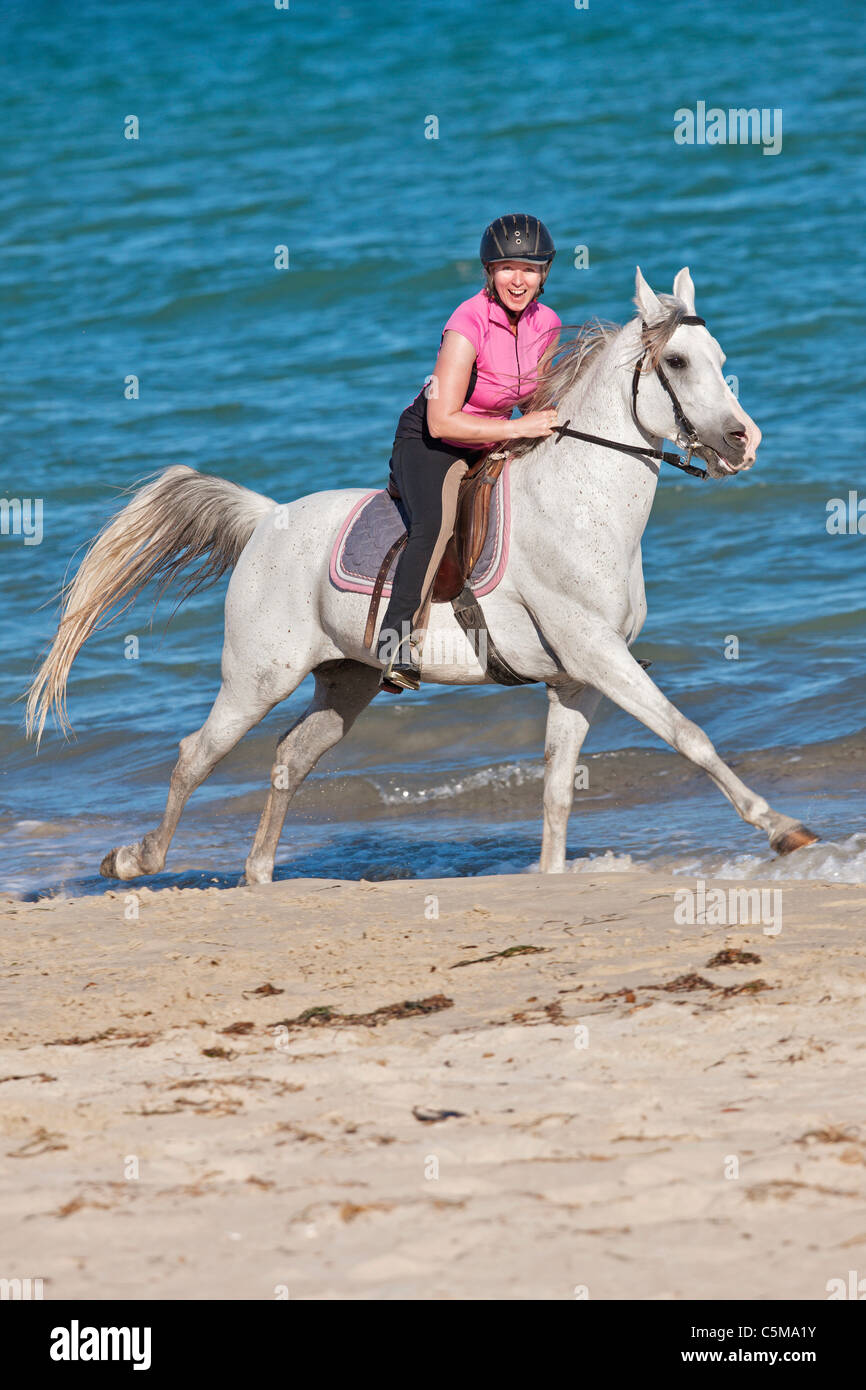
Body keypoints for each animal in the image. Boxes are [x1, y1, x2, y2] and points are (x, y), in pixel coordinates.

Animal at [25, 266, 818, 884]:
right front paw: (782, 829)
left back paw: (258, 874)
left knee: (289, 759)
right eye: (678, 362)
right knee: (197, 755)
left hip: (346, 679)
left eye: (719, 353)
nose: (744, 442)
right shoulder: (598, 656)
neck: (579, 504)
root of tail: (267, 518)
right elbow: (689, 734)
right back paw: (135, 860)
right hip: (256, 676)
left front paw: (552, 876)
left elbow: (559, 788)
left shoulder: (579, 678)